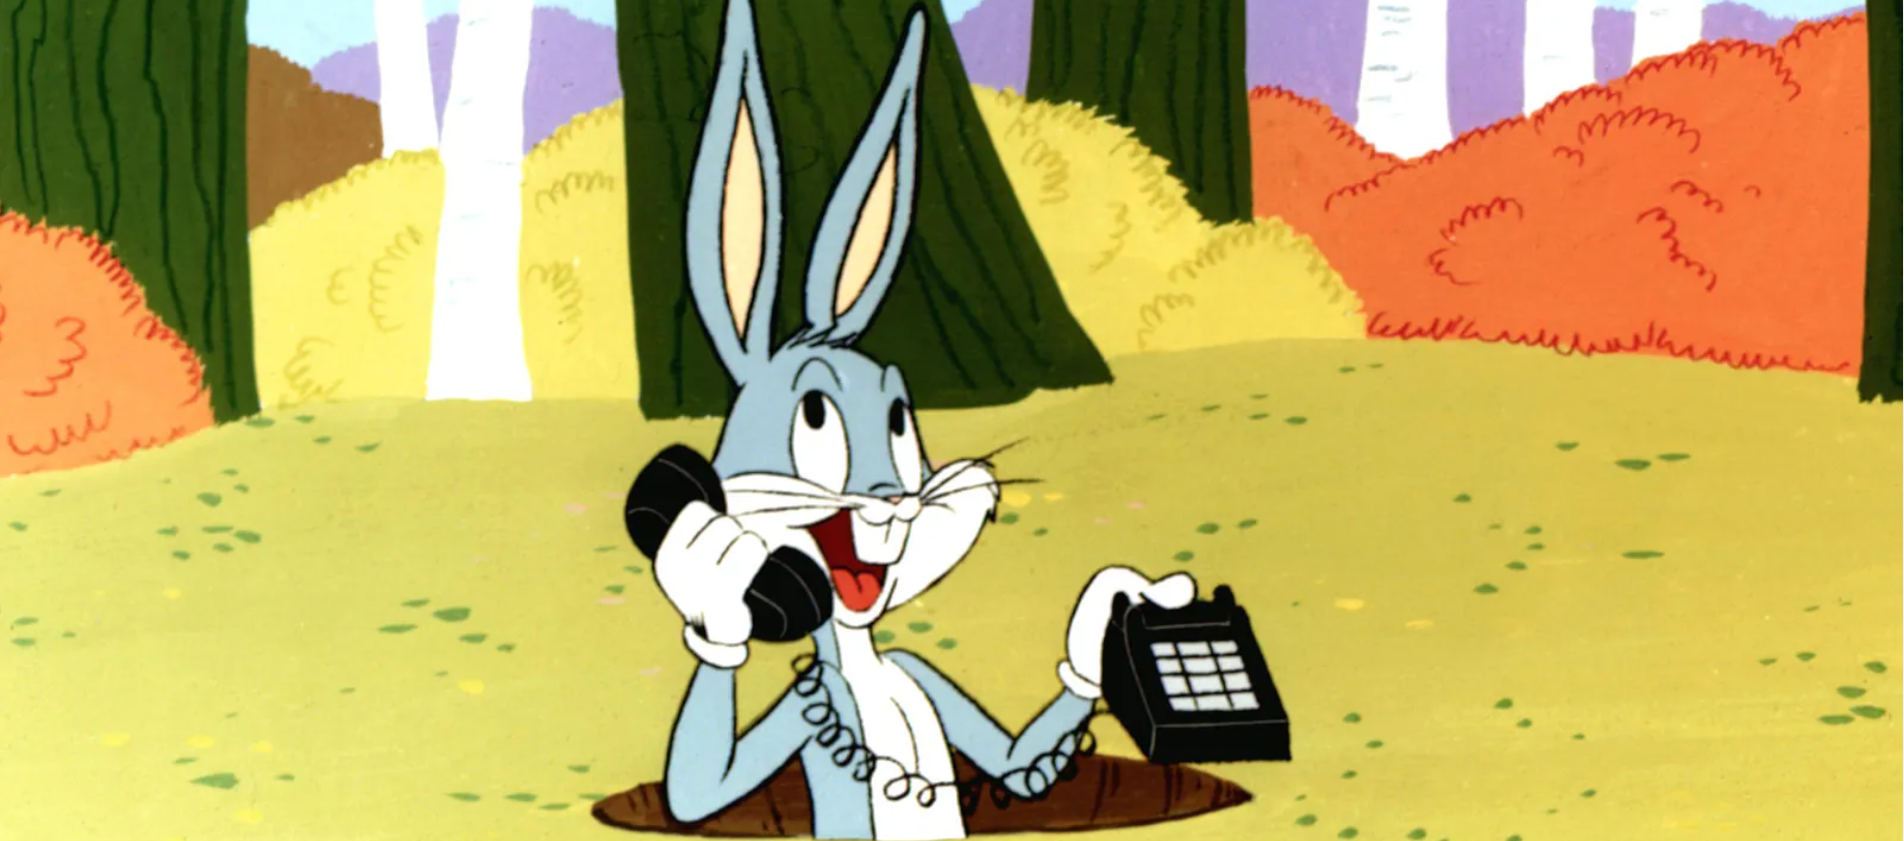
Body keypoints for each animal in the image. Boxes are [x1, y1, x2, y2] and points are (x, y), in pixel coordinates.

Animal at [652, 1, 1197, 839]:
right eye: (815, 415)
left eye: (900, 418)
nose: (897, 496)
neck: (863, 659)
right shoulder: (812, 710)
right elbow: (697, 790)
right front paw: (710, 575)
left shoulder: (923, 672)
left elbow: (1019, 765)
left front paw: (1106, 609)